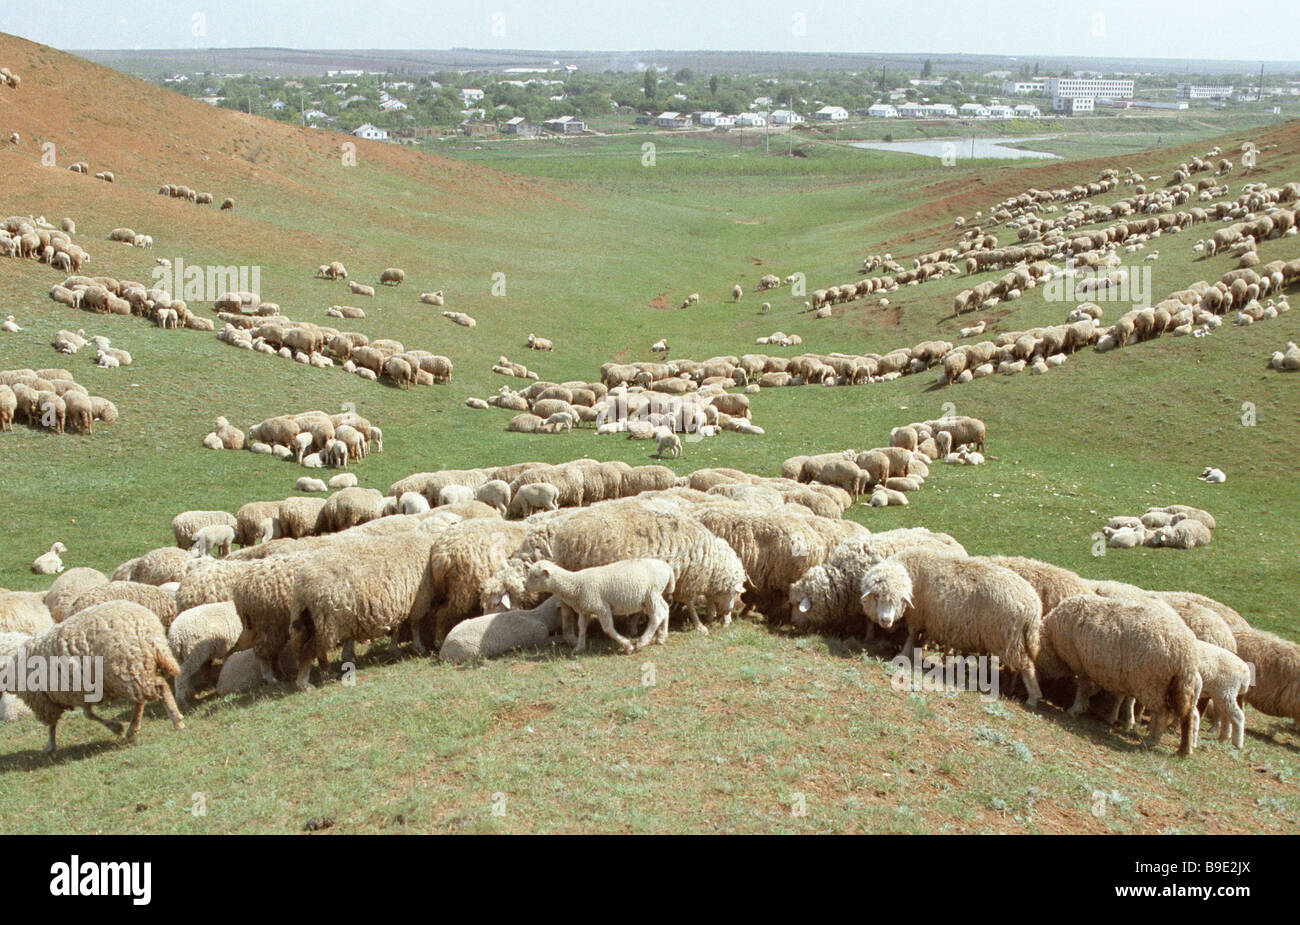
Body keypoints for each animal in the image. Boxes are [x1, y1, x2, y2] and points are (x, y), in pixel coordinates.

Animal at [3, 601, 184, 753]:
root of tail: (149, 627)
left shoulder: (50, 697)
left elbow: (65, 720)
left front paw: (50, 745)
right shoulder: (75, 692)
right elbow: (86, 714)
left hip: (129, 667)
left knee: (160, 687)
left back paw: (177, 721)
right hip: (134, 671)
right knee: (142, 698)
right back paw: (133, 728)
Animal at [524, 559, 674, 654]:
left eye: (536, 576)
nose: (525, 587)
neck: (575, 584)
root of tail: (667, 568)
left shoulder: (601, 607)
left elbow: (608, 629)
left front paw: (627, 646)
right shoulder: (585, 609)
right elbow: (582, 628)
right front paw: (579, 647)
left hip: (652, 593)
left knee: (657, 615)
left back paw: (642, 642)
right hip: (654, 595)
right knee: (665, 609)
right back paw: (661, 637)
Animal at [858, 549, 1043, 706]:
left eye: (898, 600)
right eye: (876, 596)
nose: (886, 620)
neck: (908, 570)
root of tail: (1034, 607)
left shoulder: (917, 616)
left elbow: (912, 635)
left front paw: (903, 654)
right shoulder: (925, 617)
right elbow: (920, 637)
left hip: (1007, 637)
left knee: (1026, 666)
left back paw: (1033, 698)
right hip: (1013, 639)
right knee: (1019, 666)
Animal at [1042, 595, 1202, 755]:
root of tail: (1186, 655)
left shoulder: (1079, 663)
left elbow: (1083, 689)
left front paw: (1075, 709)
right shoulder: (1123, 675)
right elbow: (1119, 697)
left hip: (1152, 684)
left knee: (1162, 714)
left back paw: (1150, 741)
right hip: (1180, 686)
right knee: (1188, 715)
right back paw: (1184, 749)